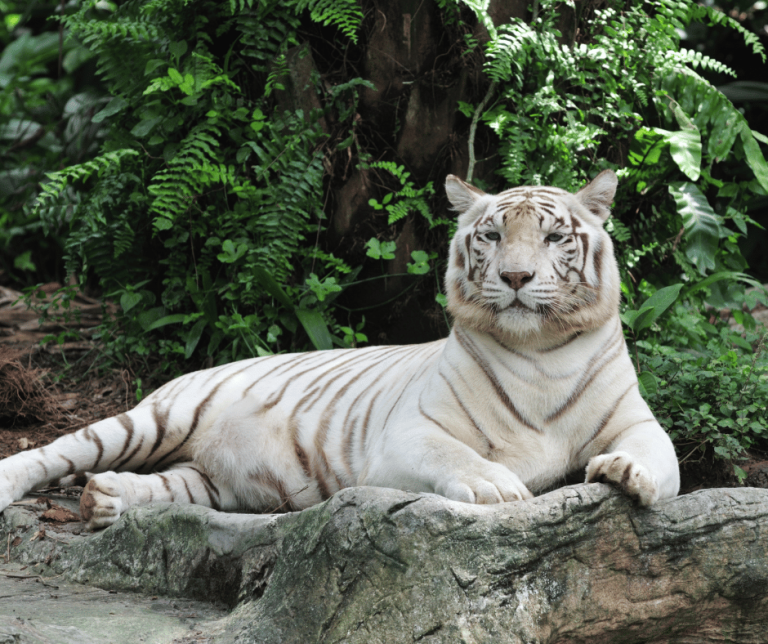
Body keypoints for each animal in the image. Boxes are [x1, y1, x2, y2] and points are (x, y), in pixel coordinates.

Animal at [0, 169, 680, 530]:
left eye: (553, 237)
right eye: (490, 236)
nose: (514, 277)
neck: (541, 353)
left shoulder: (636, 421)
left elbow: (660, 457)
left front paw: (628, 473)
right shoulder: (407, 436)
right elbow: (459, 456)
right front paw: (502, 490)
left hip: (212, 478)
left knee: (170, 487)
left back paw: (108, 499)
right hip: (156, 418)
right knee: (57, 451)